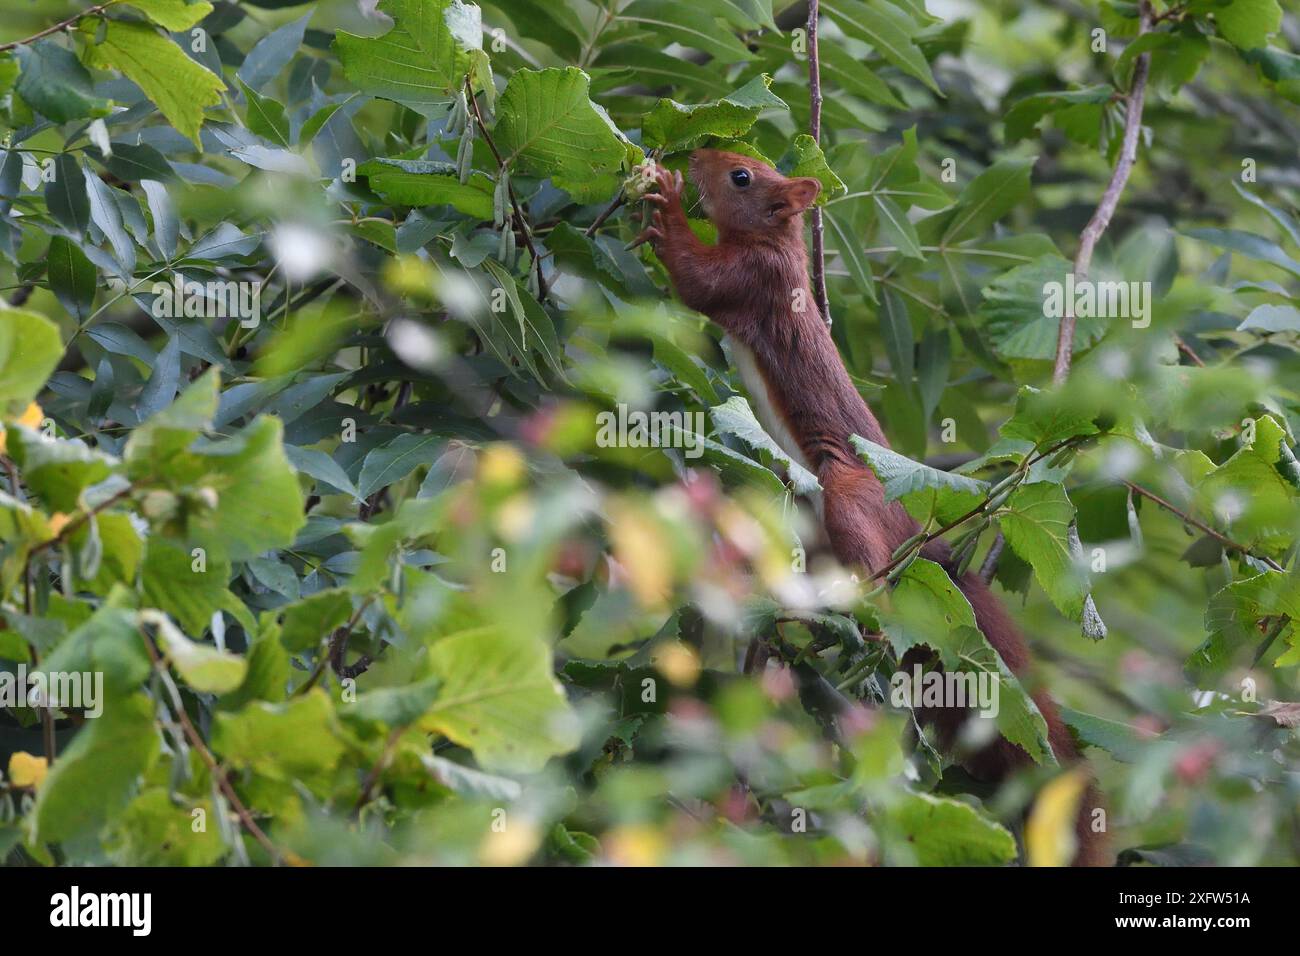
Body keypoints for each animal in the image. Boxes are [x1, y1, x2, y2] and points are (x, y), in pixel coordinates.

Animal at [635, 149, 1106, 866]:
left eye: (742, 176)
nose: (696, 158)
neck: (777, 243)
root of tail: (919, 528)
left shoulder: (753, 281)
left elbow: (698, 283)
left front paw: (662, 200)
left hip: (849, 490)